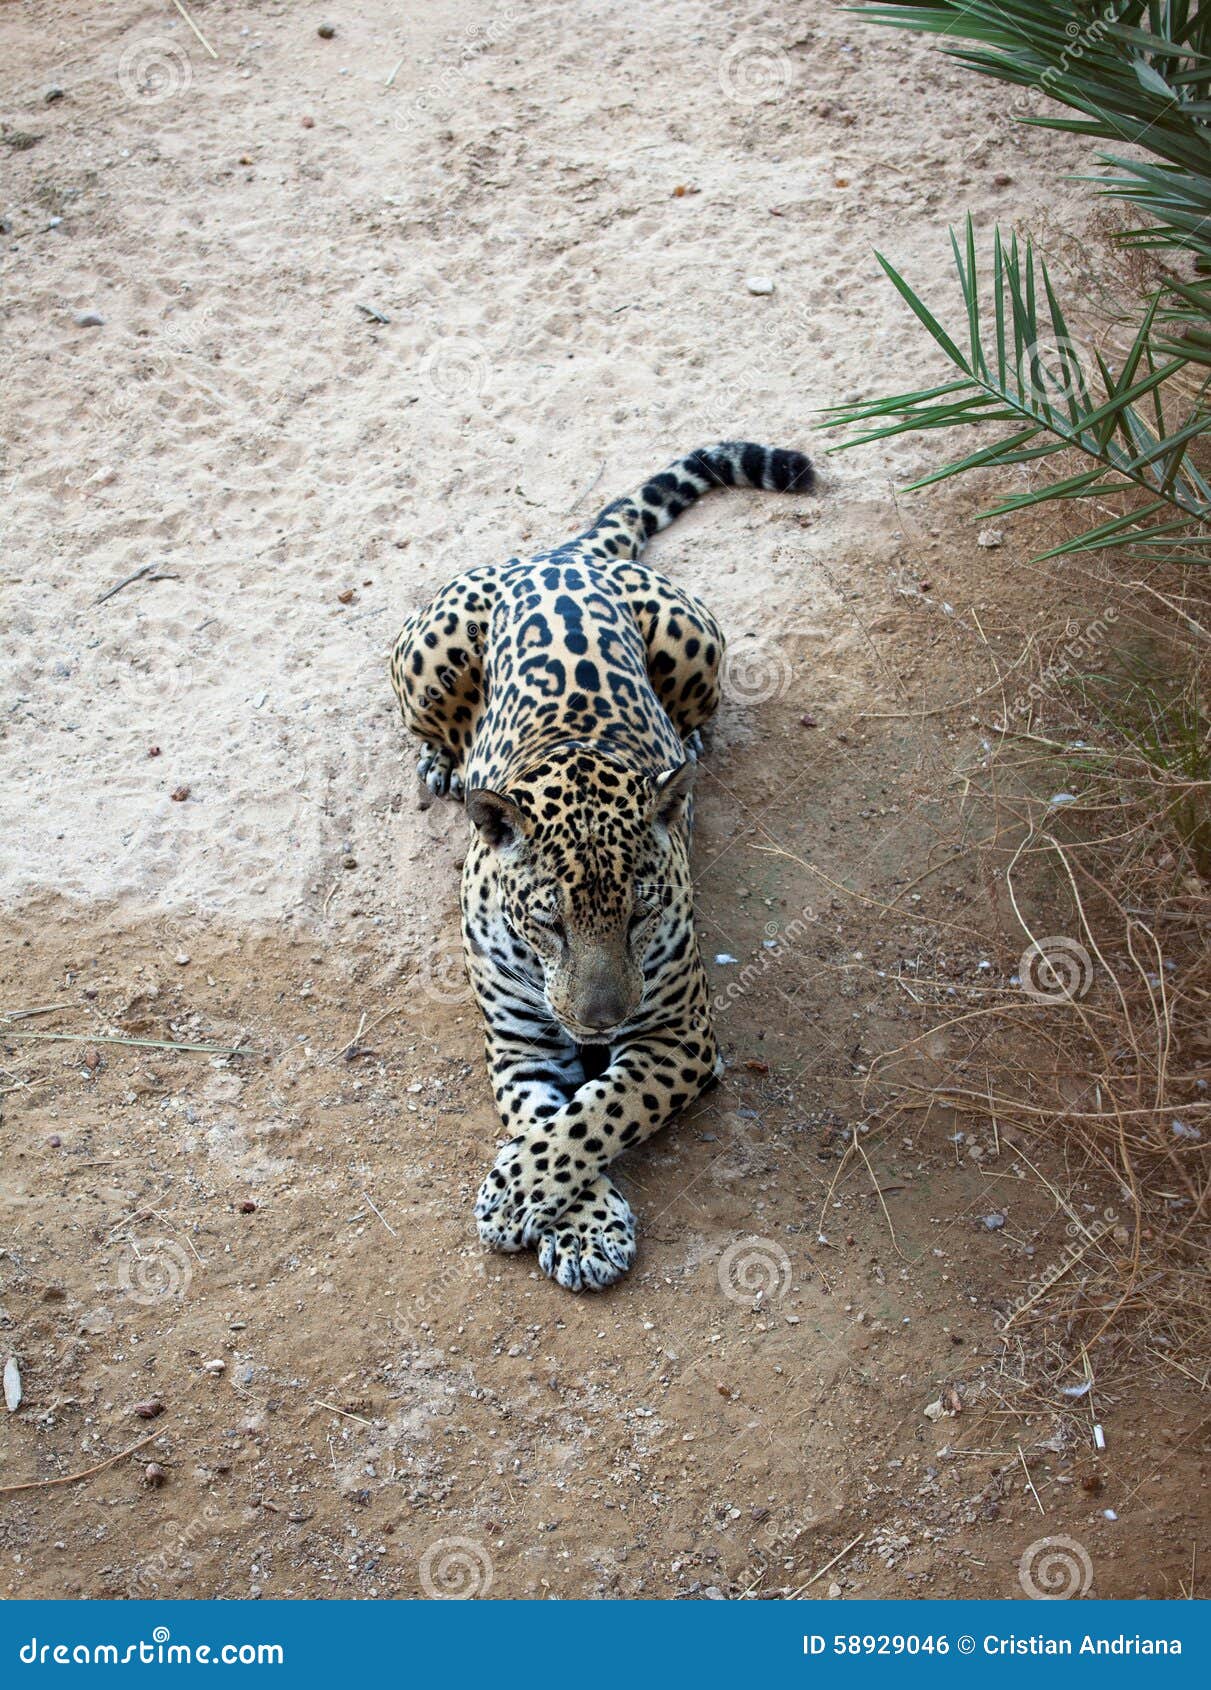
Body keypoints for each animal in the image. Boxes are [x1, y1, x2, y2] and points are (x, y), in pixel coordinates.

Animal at [390, 441, 815, 1291]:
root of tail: (559, 557)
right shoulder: (519, 1043)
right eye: (547, 921)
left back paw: (688, 752)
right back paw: (443, 767)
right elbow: (550, 1118)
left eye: (641, 914)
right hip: (428, 658)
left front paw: (522, 1199)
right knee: (431, 725)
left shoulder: (678, 1037)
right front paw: (577, 1220)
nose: (600, 1022)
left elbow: (596, 1113)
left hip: (693, 641)